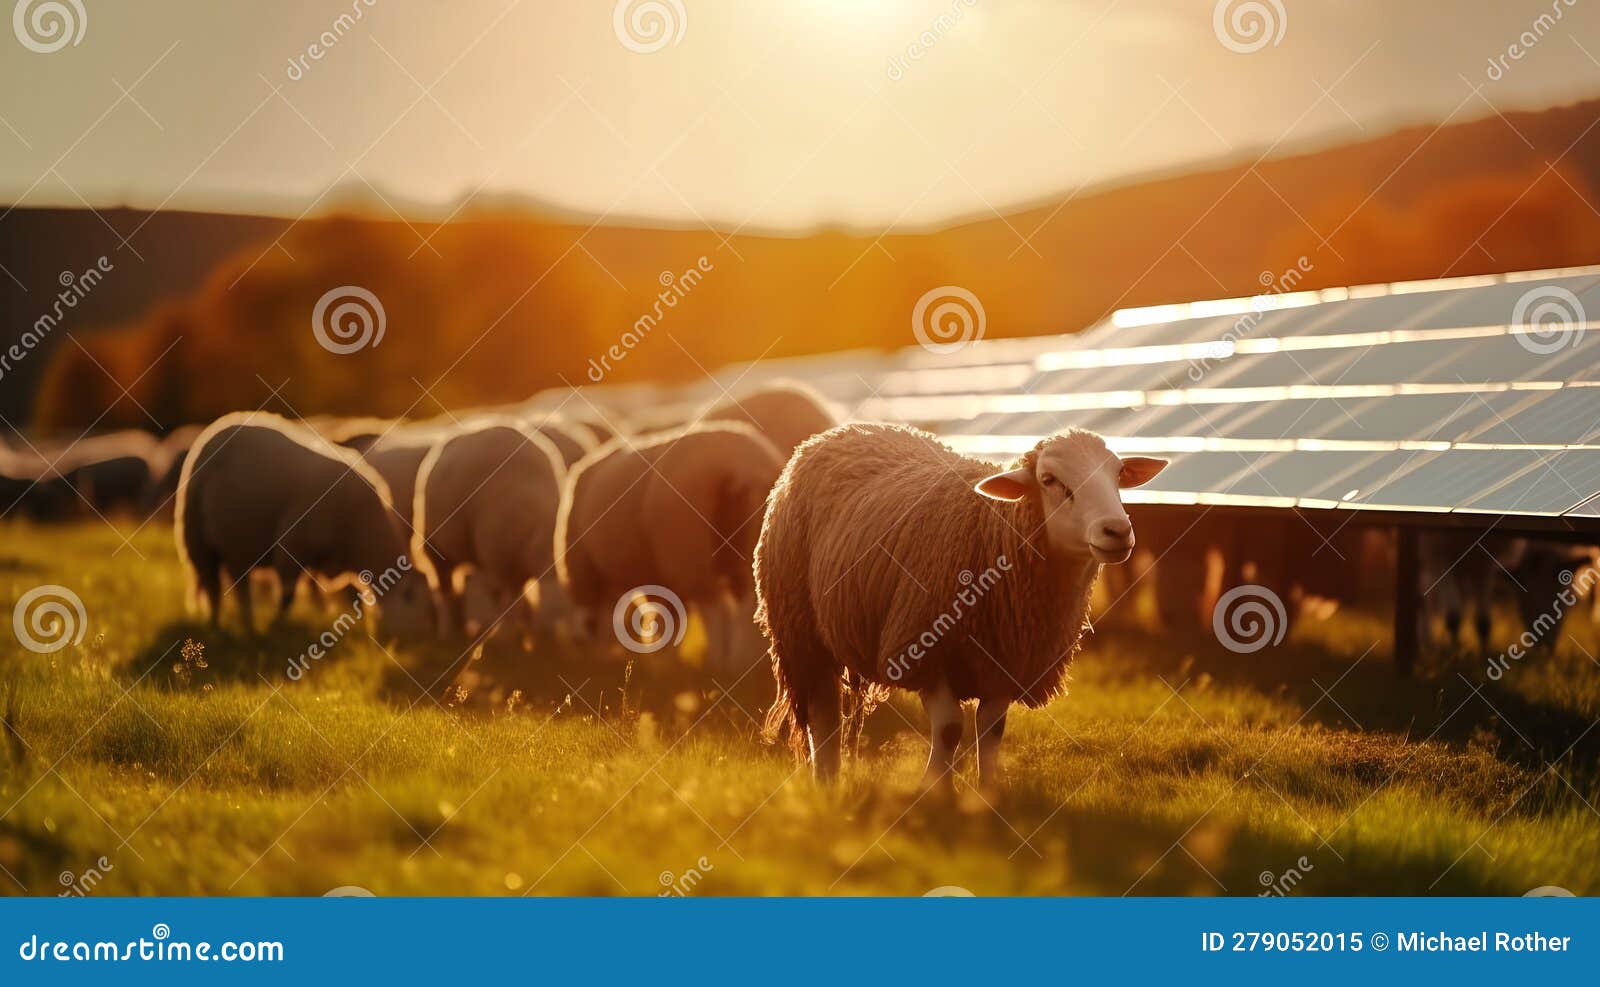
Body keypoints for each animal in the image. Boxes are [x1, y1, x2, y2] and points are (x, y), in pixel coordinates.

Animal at [175, 412, 433, 636]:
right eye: (419, 605)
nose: (428, 642)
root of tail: (218, 429)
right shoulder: (293, 546)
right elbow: (287, 596)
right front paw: (276, 627)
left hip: (235, 546)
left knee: (240, 589)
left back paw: (247, 627)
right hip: (196, 540)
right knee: (213, 589)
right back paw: (217, 627)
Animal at [411, 423, 568, 638]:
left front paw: (526, 631)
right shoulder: (498, 566)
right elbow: (507, 602)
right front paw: (512, 634)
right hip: (435, 546)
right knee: (446, 588)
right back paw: (450, 631)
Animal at [555, 422, 786, 675]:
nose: (579, 646)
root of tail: (744, 467)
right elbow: (670, 616)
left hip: (688, 549)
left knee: (713, 608)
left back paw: (717, 660)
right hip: (742, 550)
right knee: (745, 605)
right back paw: (741, 661)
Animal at [755, 423, 1166, 787]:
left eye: (1118, 473)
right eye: (1049, 479)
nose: (1117, 530)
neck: (995, 530)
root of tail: (835, 432)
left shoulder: (1007, 661)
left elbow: (992, 730)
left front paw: (987, 793)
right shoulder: (925, 649)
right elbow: (951, 729)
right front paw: (936, 791)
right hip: (798, 624)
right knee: (823, 712)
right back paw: (826, 780)